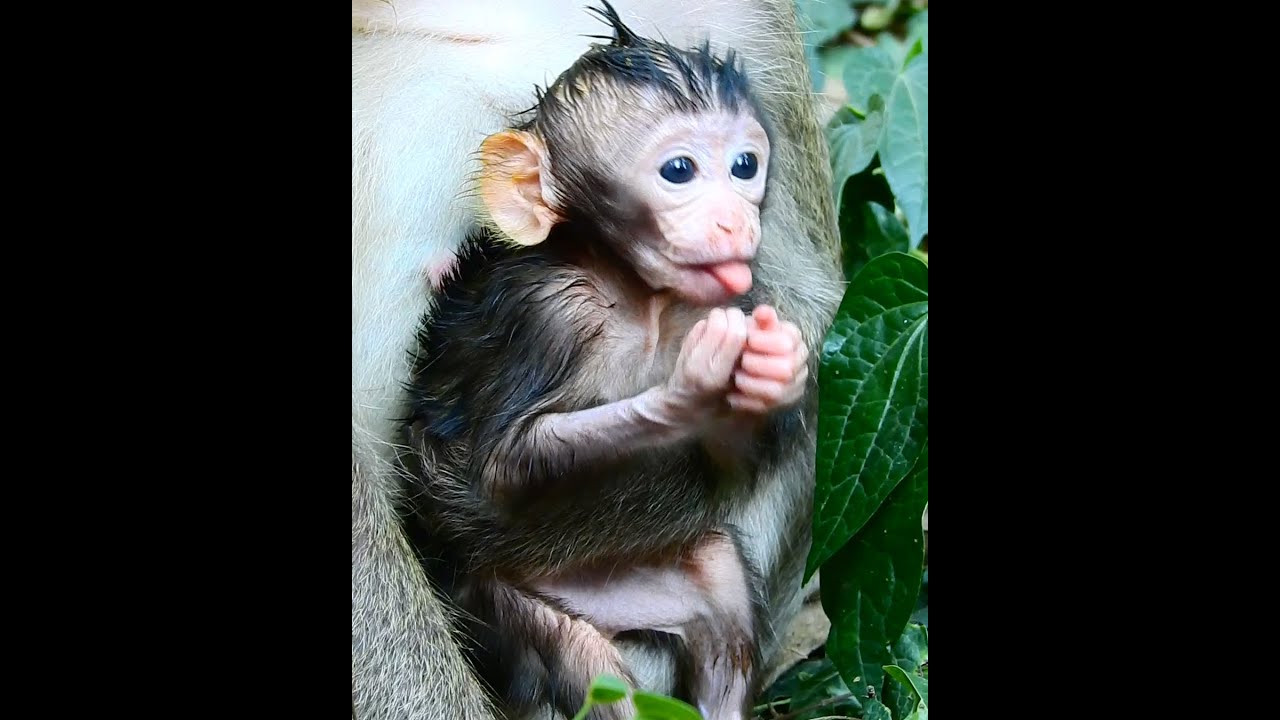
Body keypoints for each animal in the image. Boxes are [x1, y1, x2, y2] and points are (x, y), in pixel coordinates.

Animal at [351, 2, 844, 719]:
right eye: (678, 171)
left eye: (745, 164)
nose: (729, 221)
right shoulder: (549, 322)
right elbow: (495, 468)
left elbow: (813, 312)